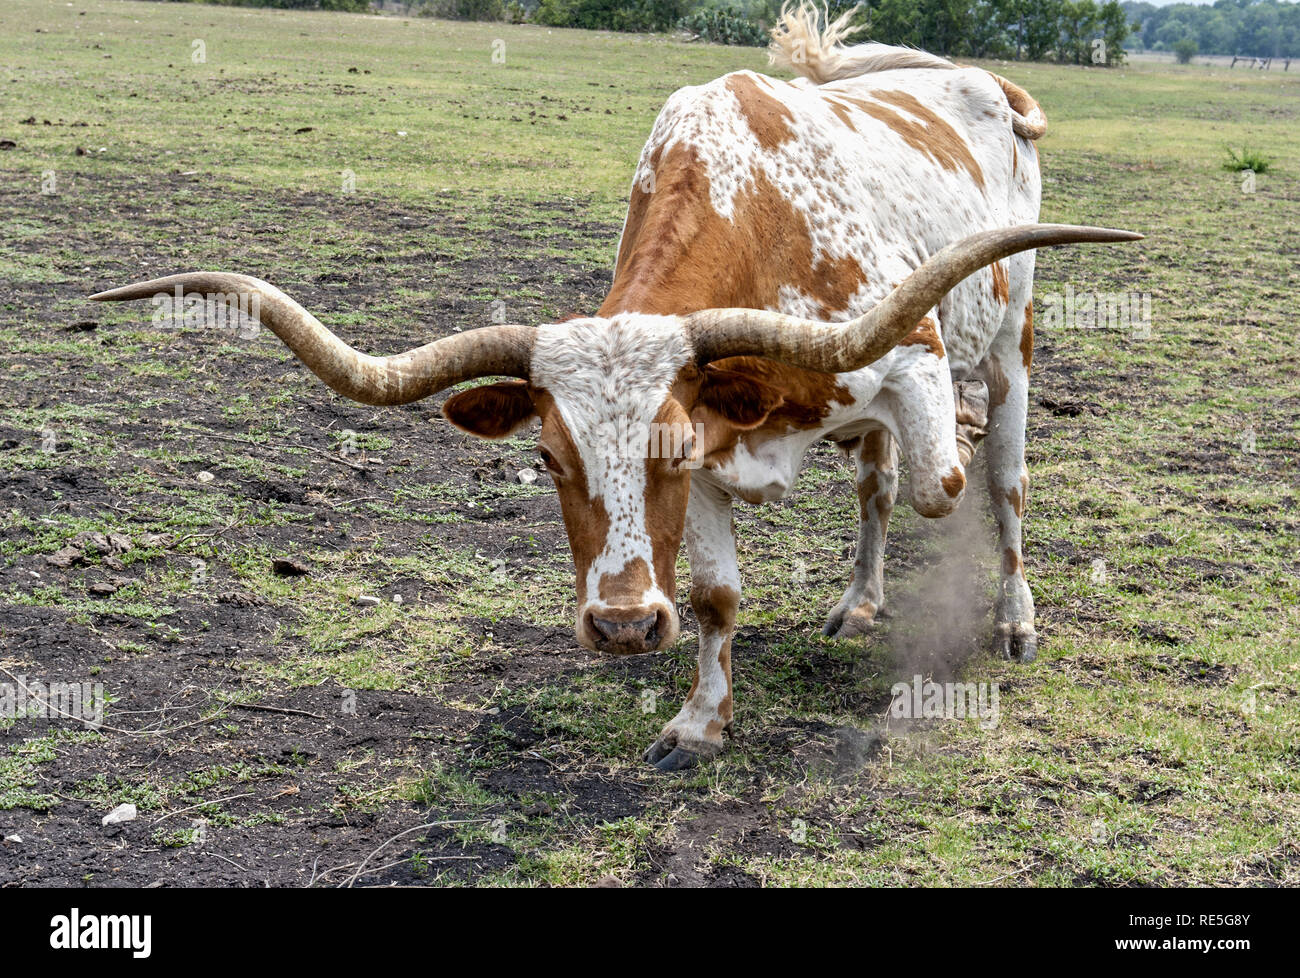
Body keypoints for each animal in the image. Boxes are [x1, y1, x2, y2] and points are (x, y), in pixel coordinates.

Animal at [90, 2, 1140, 771]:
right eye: (551, 459)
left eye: (663, 449)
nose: (626, 625)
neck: (754, 216)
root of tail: (980, 77)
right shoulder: (719, 451)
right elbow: (716, 596)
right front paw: (700, 720)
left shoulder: (903, 354)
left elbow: (943, 482)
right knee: (876, 485)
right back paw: (860, 597)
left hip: (1013, 334)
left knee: (994, 480)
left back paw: (1010, 614)